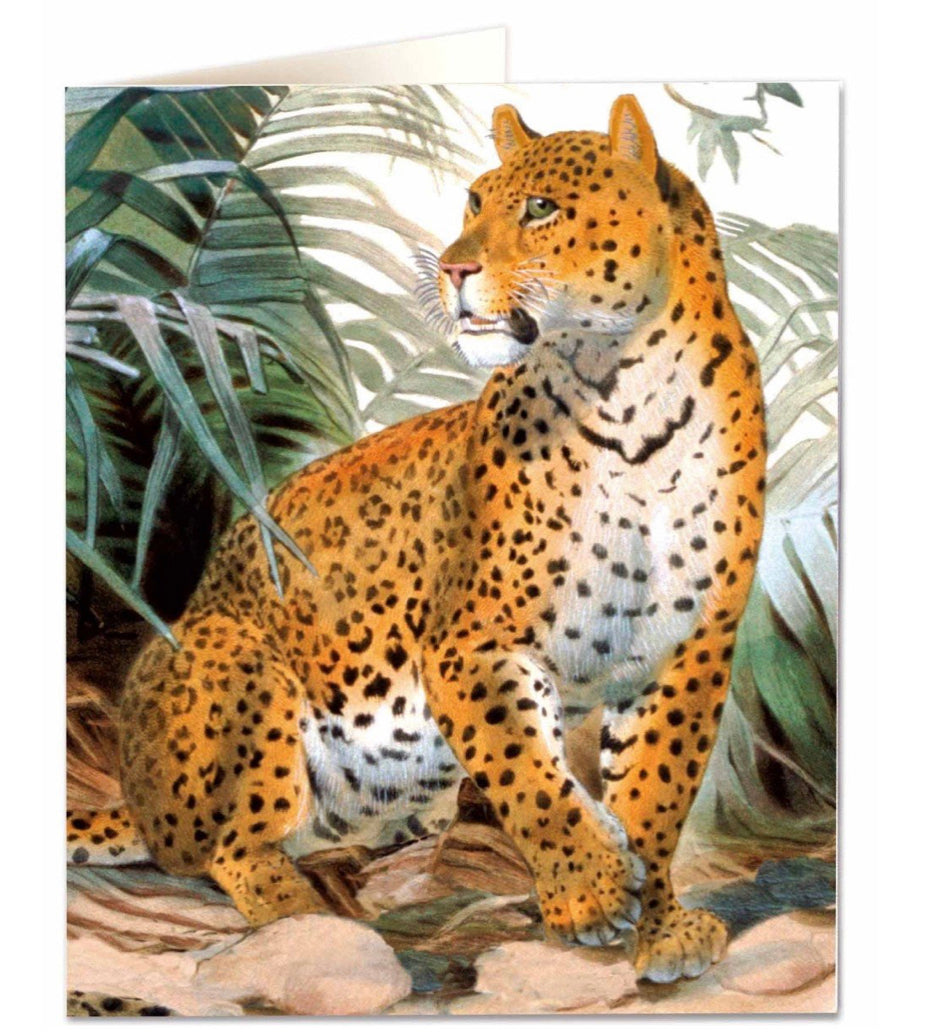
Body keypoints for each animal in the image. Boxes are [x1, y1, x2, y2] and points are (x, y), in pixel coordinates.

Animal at [67, 95, 765, 985]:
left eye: (539, 208)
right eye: (473, 203)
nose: (452, 270)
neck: (628, 391)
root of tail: (134, 791)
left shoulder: (688, 650)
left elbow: (655, 792)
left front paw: (660, 924)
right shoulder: (473, 645)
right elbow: (531, 777)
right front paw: (592, 891)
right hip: (235, 660)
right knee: (226, 847)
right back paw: (301, 916)